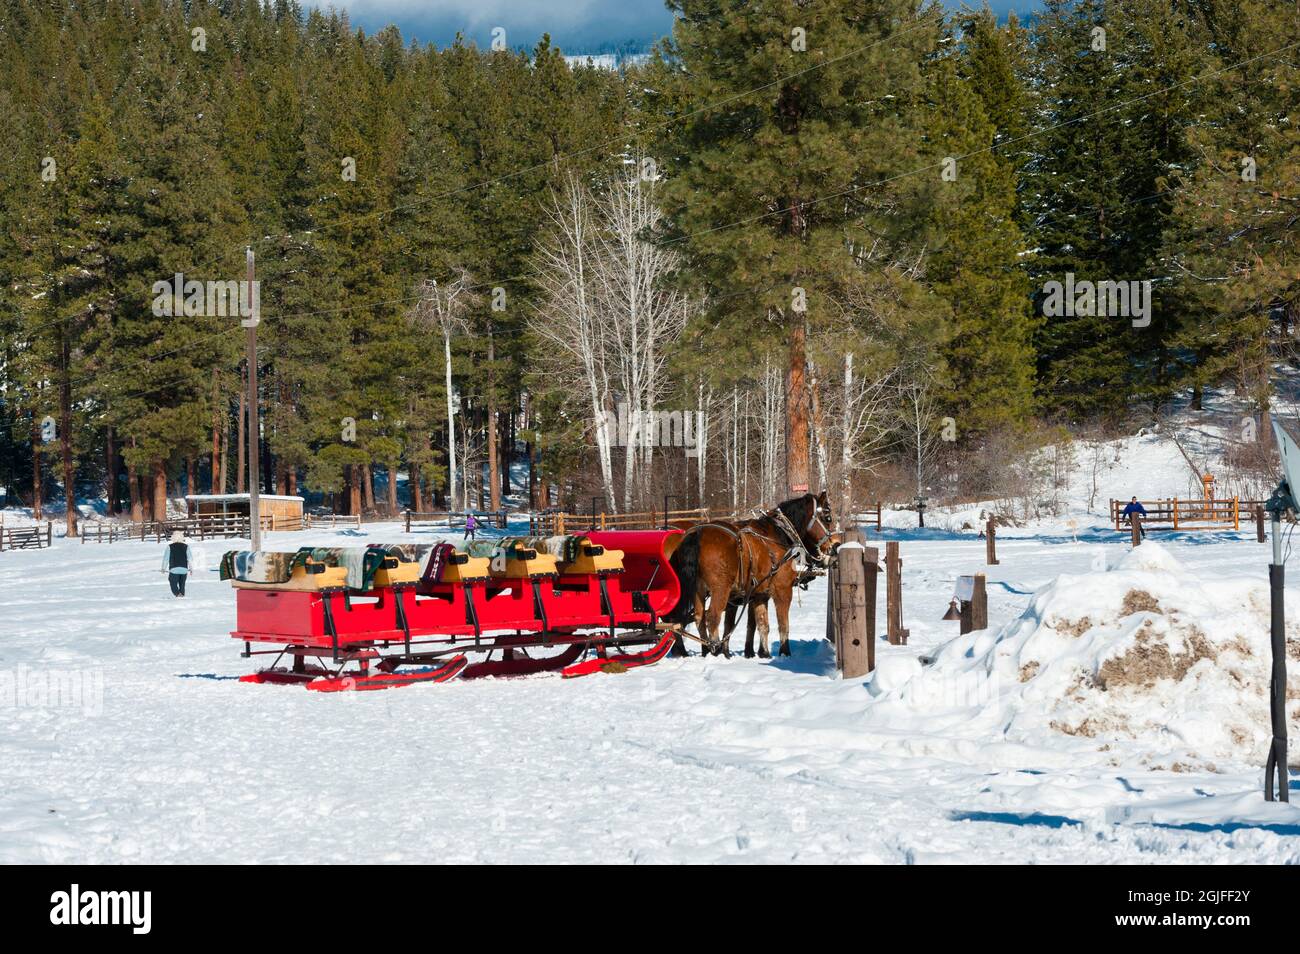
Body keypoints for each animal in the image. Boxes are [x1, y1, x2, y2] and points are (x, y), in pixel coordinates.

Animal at [667, 492, 836, 658]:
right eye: (828, 517)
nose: (835, 545)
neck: (780, 534)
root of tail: (697, 533)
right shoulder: (783, 590)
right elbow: (783, 625)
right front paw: (784, 653)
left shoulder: (760, 595)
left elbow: (762, 624)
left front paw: (764, 653)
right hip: (720, 589)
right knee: (712, 617)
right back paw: (715, 651)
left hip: (698, 589)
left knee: (698, 617)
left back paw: (705, 651)